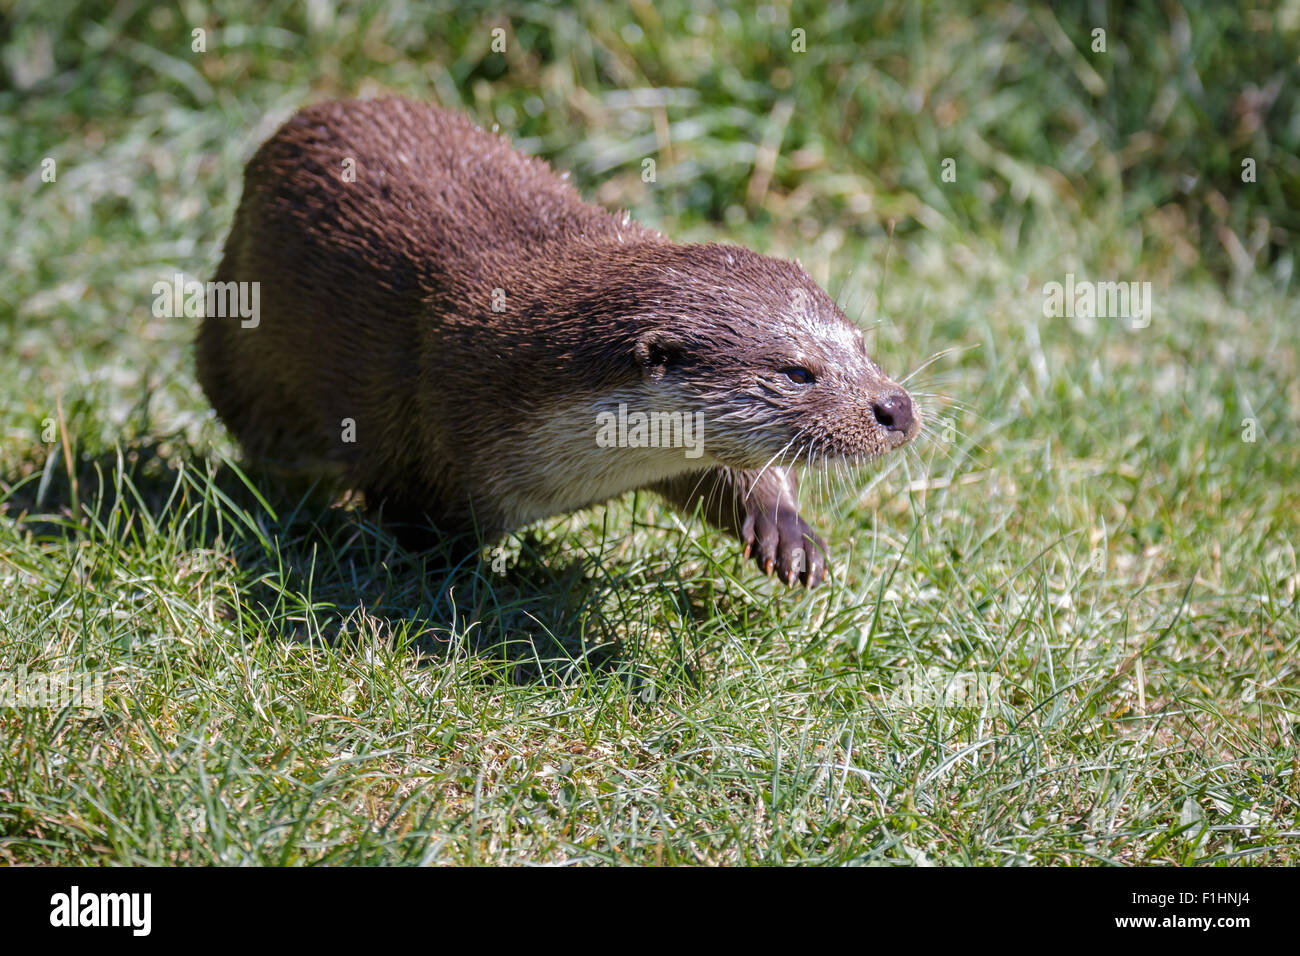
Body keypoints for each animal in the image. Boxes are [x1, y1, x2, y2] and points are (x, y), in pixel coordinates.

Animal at [196, 98, 919, 587]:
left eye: (860, 343)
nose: (897, 406)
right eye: (798, 372)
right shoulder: (420, 425)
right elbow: (416, 529)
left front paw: (787, 534)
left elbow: (727, 478)